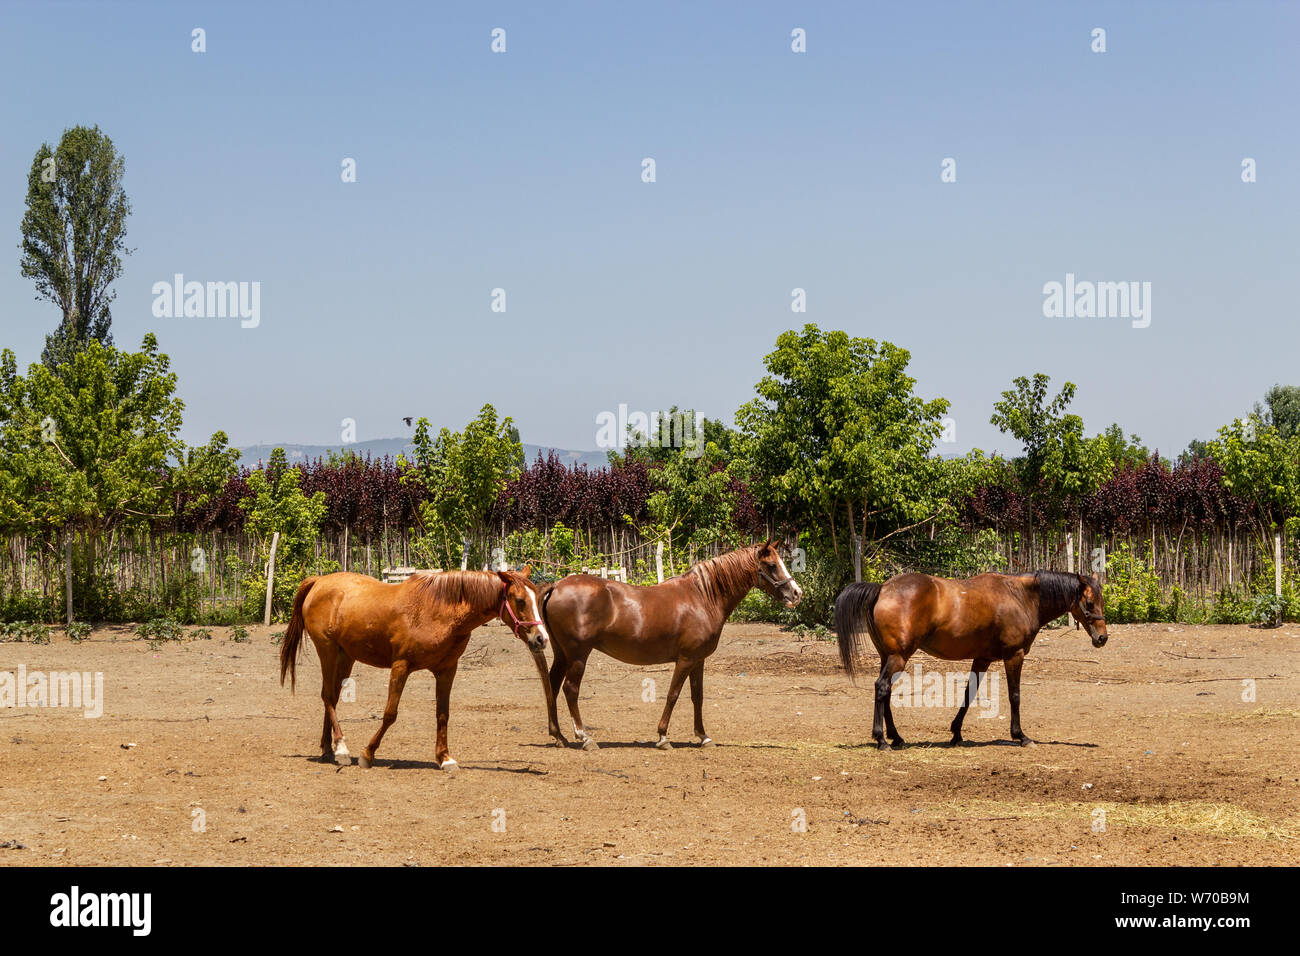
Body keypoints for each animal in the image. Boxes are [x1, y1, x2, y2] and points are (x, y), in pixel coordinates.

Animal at [279, 566, 562, 770]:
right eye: (519, 601)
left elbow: (442, 714)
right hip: (326, 650)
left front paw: (445, 758)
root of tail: (318, 581)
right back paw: (341, 748)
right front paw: (367, 754)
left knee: (333, 698)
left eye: (536, 599)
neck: (438, 611)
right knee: (328, 697)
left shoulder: (447, 670)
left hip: (345, 656)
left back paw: (328, 750)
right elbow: (390, 714)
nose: (541, 639)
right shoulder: (401, 666)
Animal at [539, 541, 803, 750]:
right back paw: (584, 738)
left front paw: (703, 736)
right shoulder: (685, 659)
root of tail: (557, 586)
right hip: (578, 655)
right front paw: (663, 737)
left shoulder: (698, 660)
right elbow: (673, 695)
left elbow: (698, 696)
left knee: (552, 686)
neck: (702, 598)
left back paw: (558, 736)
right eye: (771, 565)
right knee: (570, 689)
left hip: (562, 654)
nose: (796, 593)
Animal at [833, 570, 1109, 749]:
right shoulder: (1014, 656)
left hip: (888, 657)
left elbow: (969, 693)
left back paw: (896, 737)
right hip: (898, 658)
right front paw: (1021, 736)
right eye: (1089, 602)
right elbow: (1015, 696)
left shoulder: (982, 659)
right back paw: (882, 740)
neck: (1021, 597)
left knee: (886, 691)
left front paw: (956, 733)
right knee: (882, 688)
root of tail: (882, 589)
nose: (1102, 638)